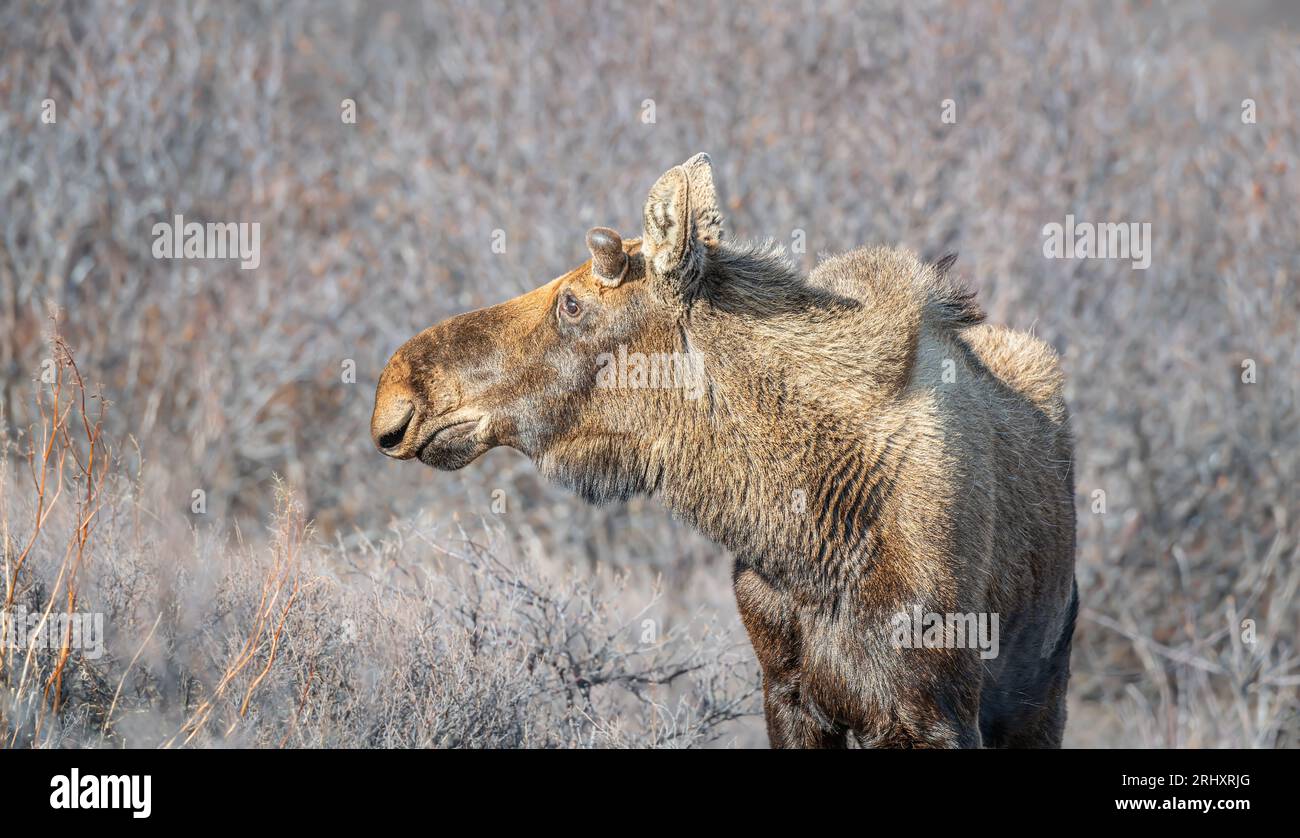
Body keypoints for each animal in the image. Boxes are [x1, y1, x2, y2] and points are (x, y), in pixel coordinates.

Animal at [371, 153, 1079, 748]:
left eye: (572, 303)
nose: (397, 395)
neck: (800, 529)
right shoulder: (788, 695)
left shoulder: (933, 712)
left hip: (1041, 699)